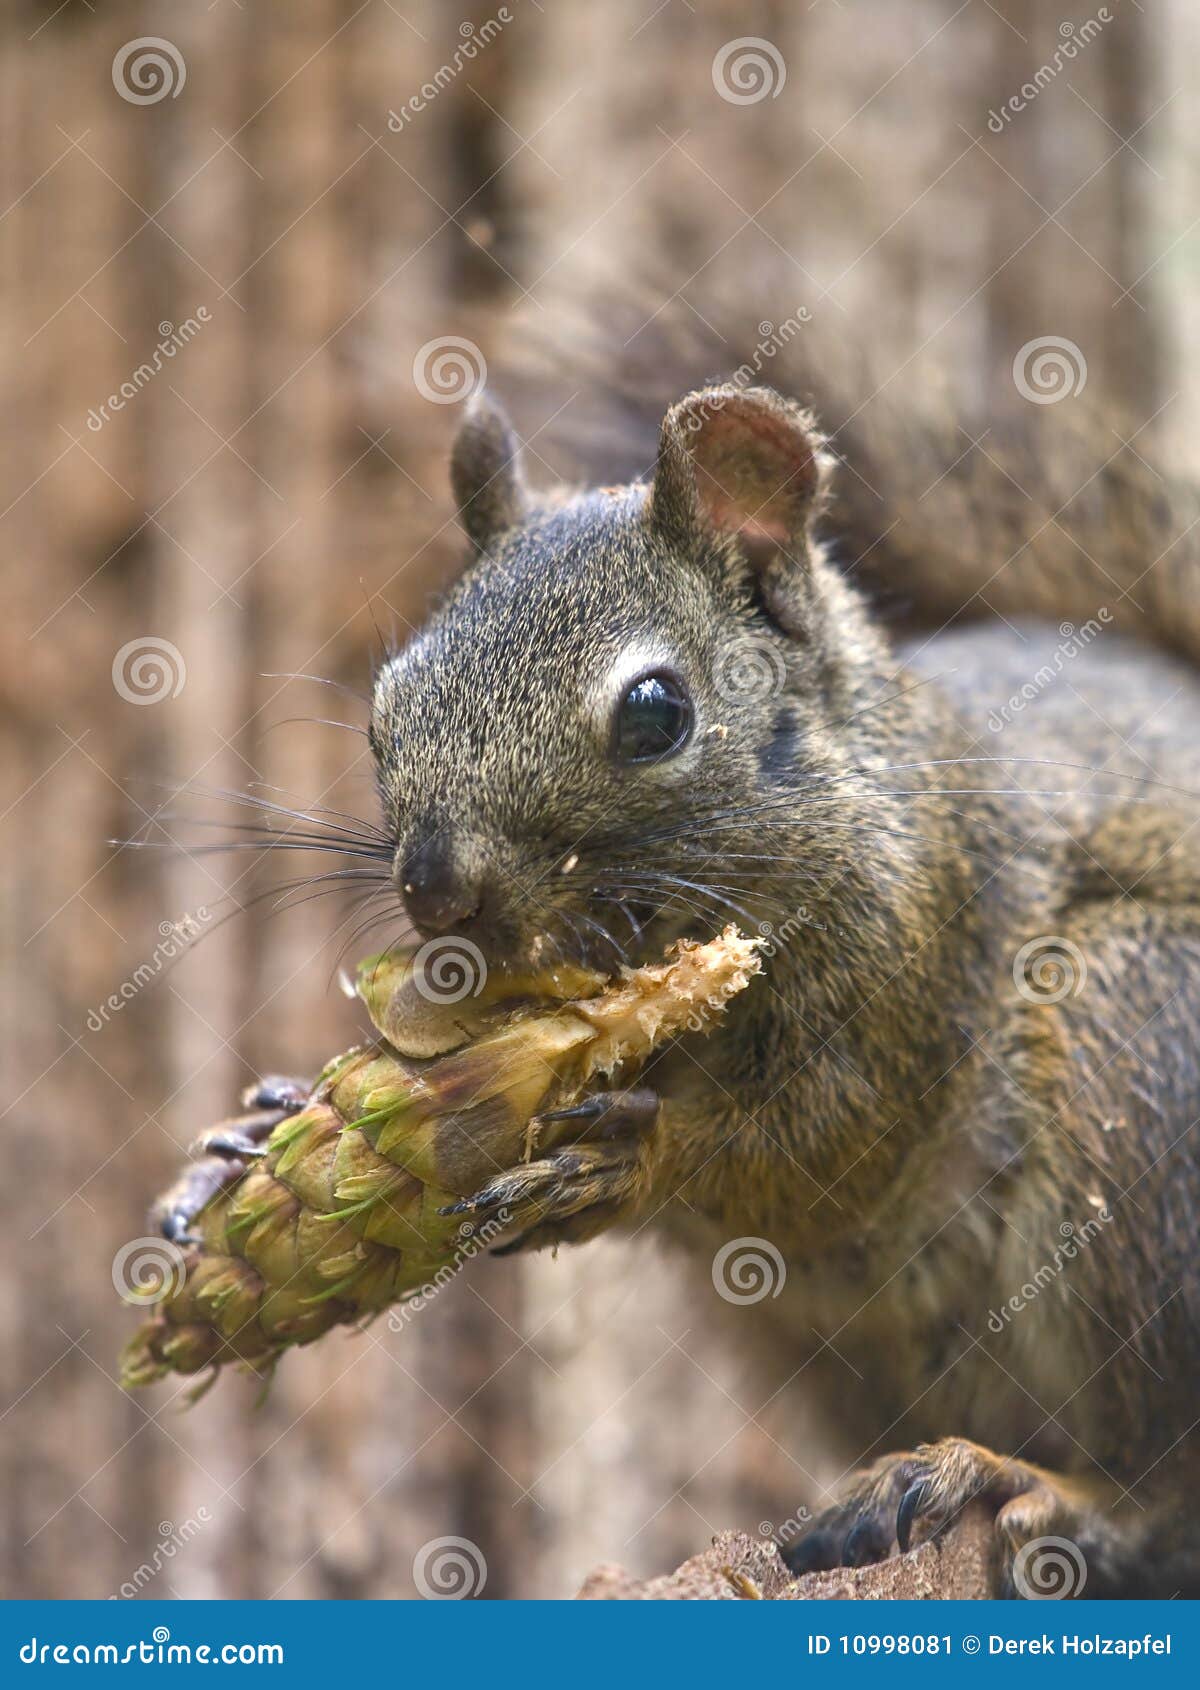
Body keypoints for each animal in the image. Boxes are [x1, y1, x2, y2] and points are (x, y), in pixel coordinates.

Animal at [160, 308, 1200, 1598]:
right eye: (382, 708)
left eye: (655, 713)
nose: (435, 888)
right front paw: (256, 1129)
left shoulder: (925, 950)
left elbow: (828, 1147)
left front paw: (643, 1155)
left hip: (1131, 1035)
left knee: (1165, 1484)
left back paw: (1013, 1480)